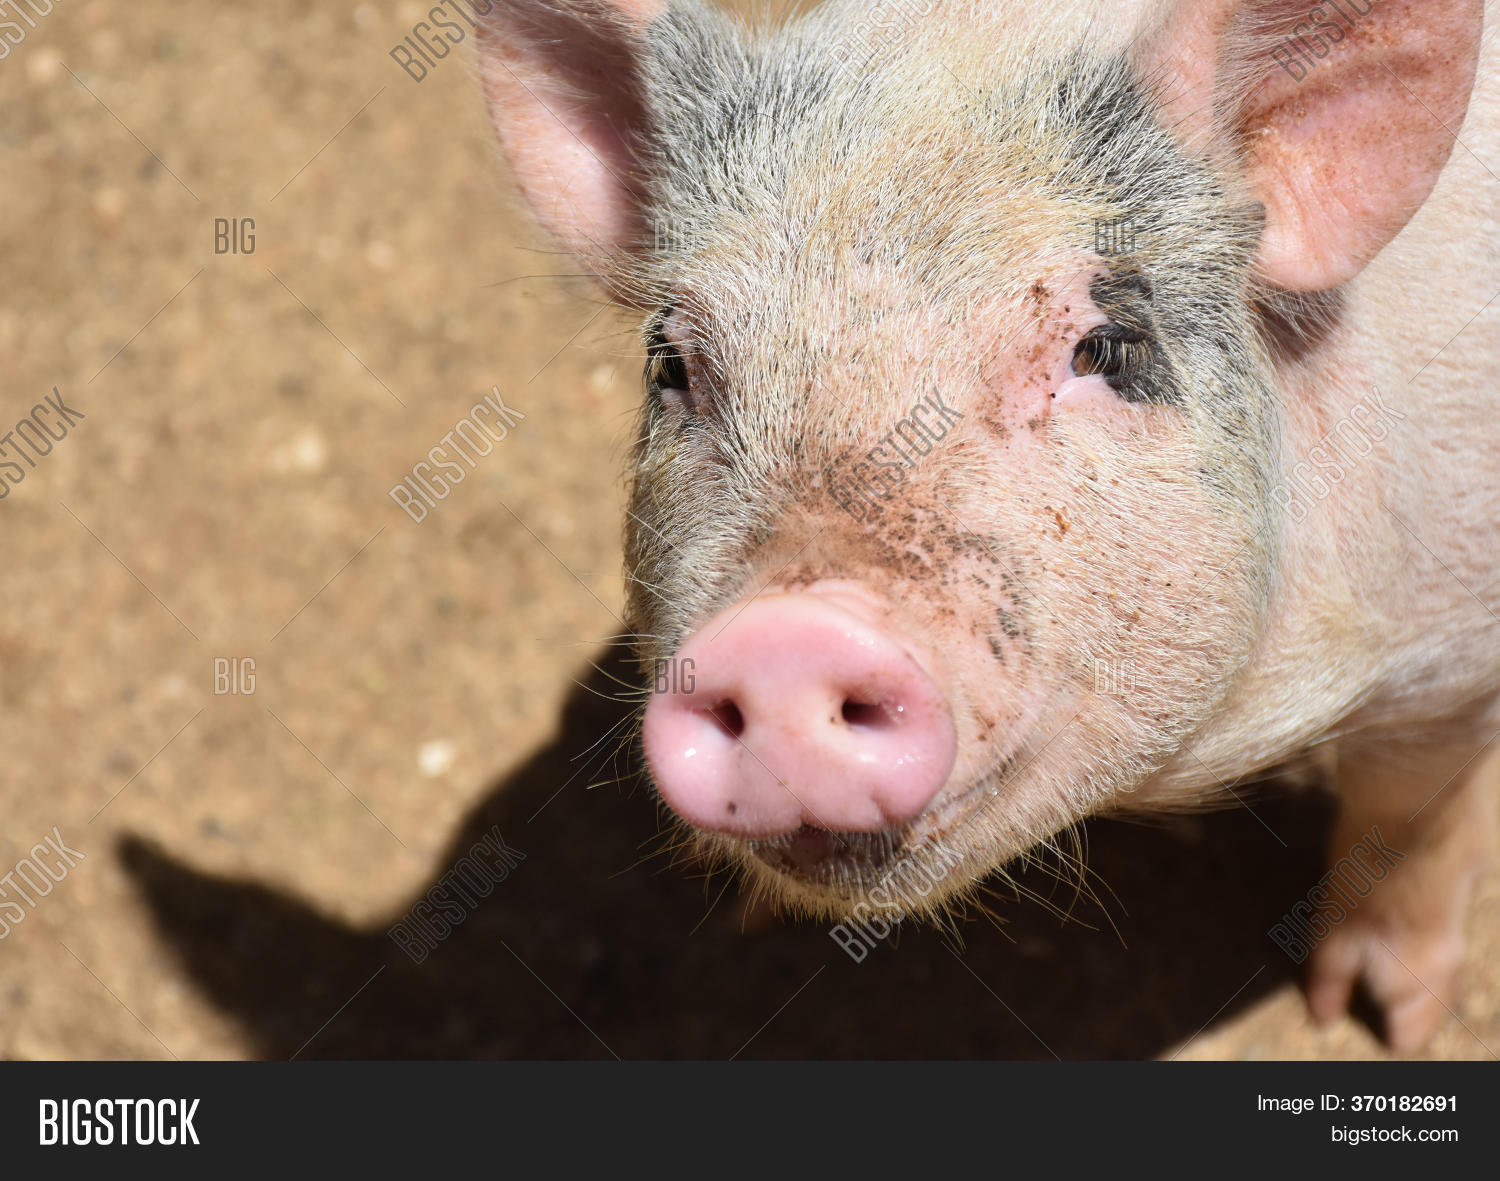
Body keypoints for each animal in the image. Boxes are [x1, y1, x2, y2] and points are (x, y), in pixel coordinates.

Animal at [476, 0, 1500, 1051]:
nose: (785, 633)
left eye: (1106, 348)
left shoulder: (1455, 649)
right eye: (672, 364)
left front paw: (1378, 1020)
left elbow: (1411, 816)